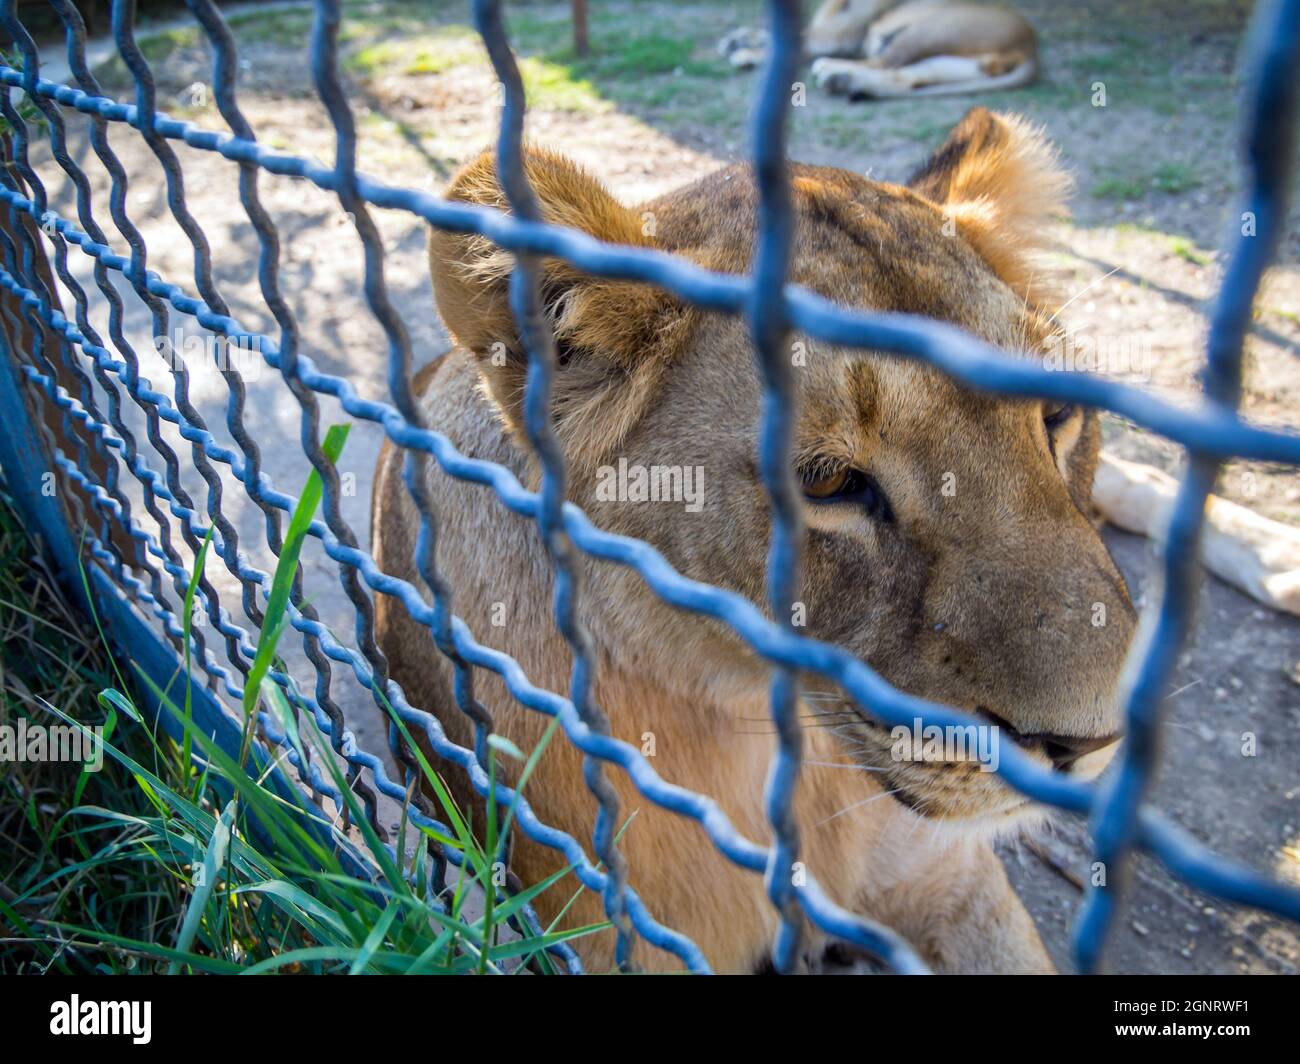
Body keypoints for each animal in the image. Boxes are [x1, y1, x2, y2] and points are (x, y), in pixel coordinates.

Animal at [719, 0, 1039, 99]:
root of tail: (1030, 46)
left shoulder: (840, 34)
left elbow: (790, 43)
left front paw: (745, 53)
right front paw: (737, 39)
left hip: (929, 30)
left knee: (883, 63)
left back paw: (831, 70)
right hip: (943, 62)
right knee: (904, 78)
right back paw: (844, 82)